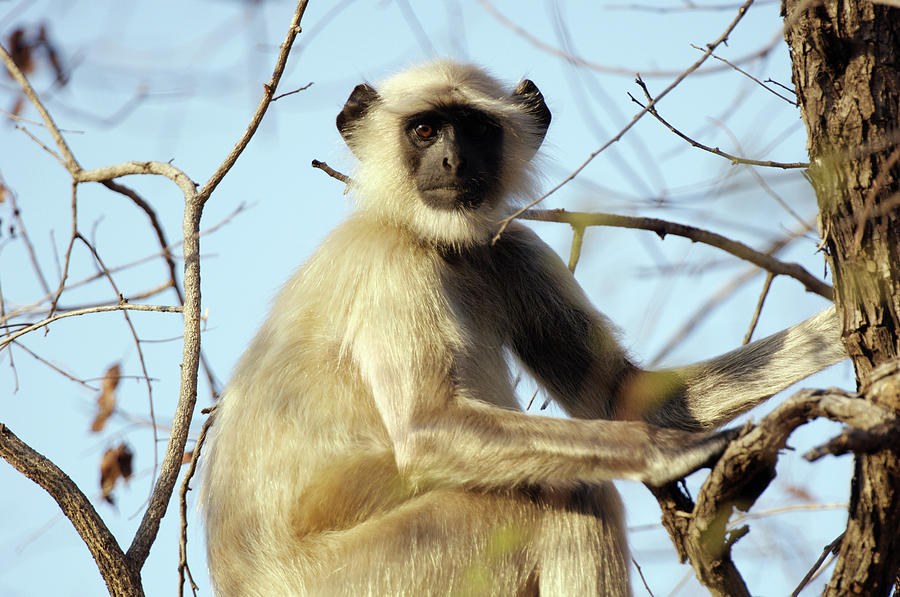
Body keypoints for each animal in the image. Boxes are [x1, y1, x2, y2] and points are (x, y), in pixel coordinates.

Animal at [199, 60, 847, 597]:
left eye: (476, 130)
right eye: (425, 131)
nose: (453, 162)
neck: (431, 238)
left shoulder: (512, 247)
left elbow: (625, 398)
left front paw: (837, 327)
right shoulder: (392, 266)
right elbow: (430, 427)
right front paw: (668, 453)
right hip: (376, 575)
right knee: (566, 493)